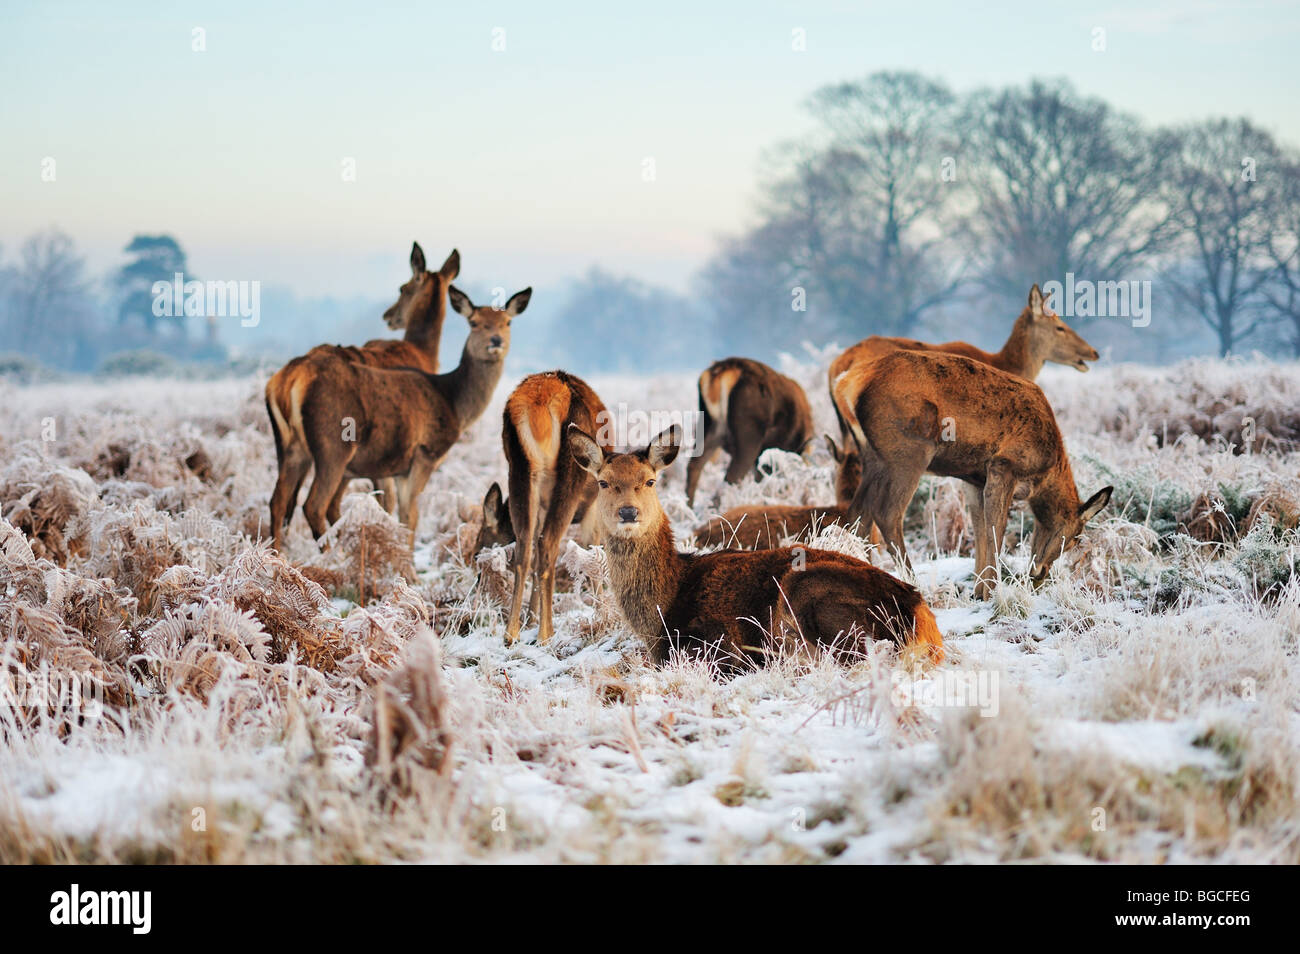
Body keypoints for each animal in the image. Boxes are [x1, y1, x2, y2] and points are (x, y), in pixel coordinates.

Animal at [268, 285, 531, 549]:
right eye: (474, 322)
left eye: (507, 322)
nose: (496, 341)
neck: (454, 404)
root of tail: (291, 378)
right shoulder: (425, 453)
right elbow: (410, 515)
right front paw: (409, 560)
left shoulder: (399, 469)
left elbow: (401, 516)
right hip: (333, 446)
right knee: (313, 505)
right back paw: (332, 554)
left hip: (291, 446)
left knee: (278, 500)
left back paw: (276, 553)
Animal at [468, 371, 612, 644]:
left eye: (476, 552)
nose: (477, 586)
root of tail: (539, 401)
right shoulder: (595, 505)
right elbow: (594, 554)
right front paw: (605, 616)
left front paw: (531, 618)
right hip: (571, 472)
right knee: (548, 547)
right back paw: (547, 633)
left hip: (521, 469)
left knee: (526, 548)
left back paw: (512, 633)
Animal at [833, 349, 1112, 600]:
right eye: (1075, 538)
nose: (1040, 573)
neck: (1046, 473)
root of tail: (847, 384)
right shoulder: (1003, 465)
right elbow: (996, 530)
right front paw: (992, 592)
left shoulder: (974, 479)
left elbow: (979, 529)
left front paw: (979, 590)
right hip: (909, 451)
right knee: (887, 514)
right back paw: (915, 585)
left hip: (870, 454)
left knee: (859, 513)